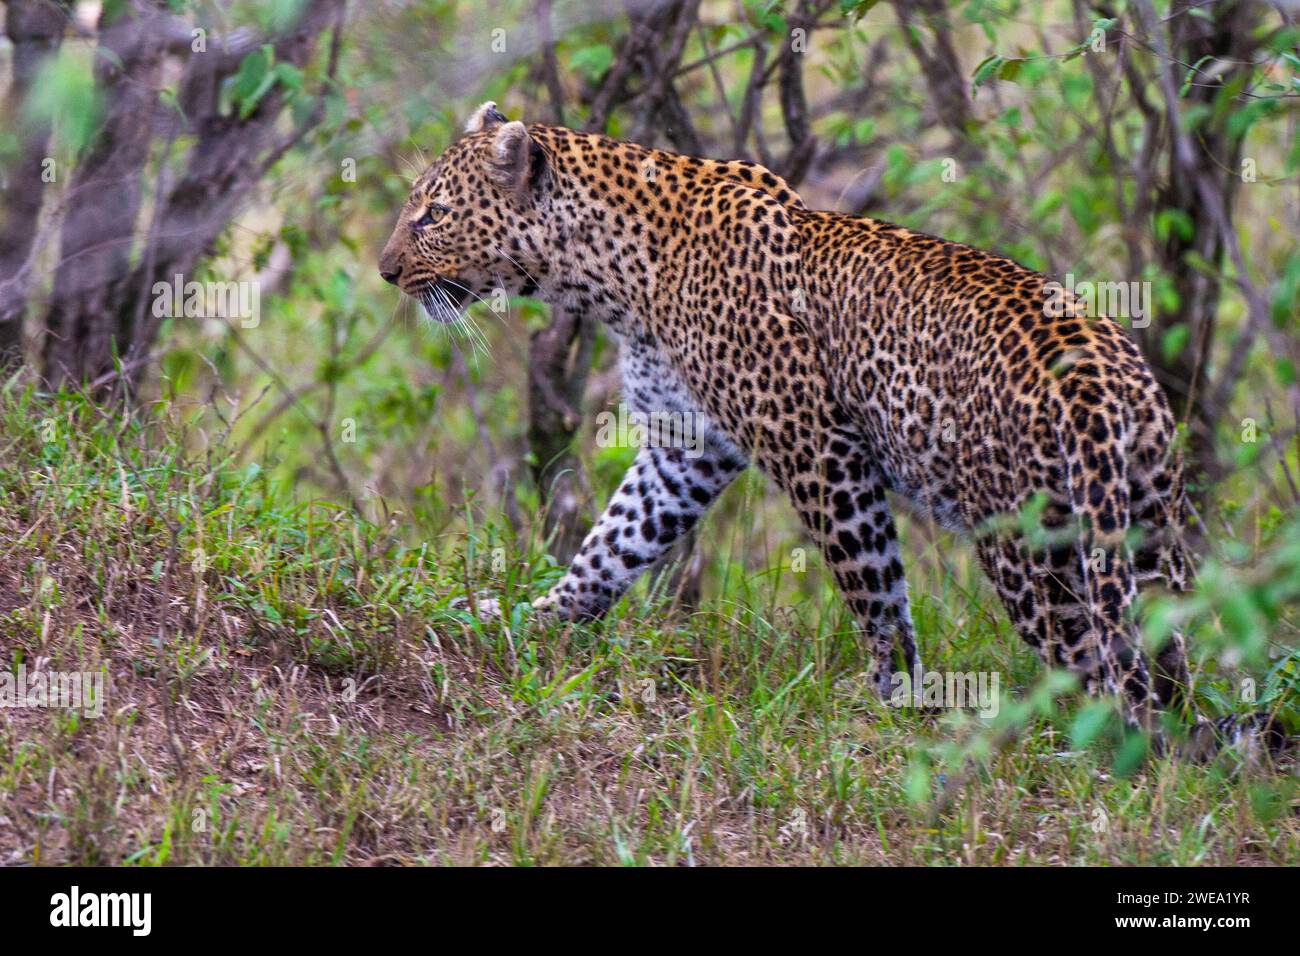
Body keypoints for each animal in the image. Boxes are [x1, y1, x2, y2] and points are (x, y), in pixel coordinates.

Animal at [379, 101, 1281, 757]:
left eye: (433, 214)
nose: (386, 271)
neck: (613, 275)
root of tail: (1103, 375)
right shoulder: (688, 447)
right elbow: (612, 541)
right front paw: (538, 620)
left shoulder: (816, 445)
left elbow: (872, 585)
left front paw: (894, 697)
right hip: (1148, 524)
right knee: (1167, 659)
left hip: (1035, 550)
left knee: (1102, 671)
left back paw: (1095, 754)